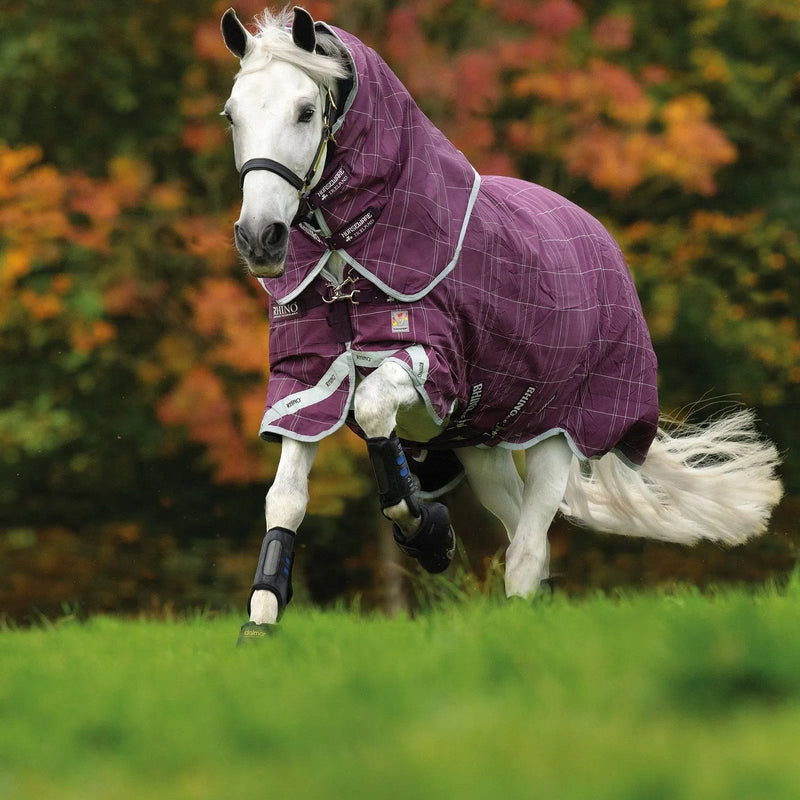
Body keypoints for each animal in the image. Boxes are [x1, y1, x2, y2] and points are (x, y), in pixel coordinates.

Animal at [220, 7, 783, 641]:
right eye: (232, 114)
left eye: (305, 111)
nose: (260, 238)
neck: (353, 256)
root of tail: (604, 245)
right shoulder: (307, 378)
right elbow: (287, 497)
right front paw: (261, 621)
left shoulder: (429, 366)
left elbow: (371, 408)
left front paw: (429, 533)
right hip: (483, 448)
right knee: (523, 536)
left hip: (557, 435)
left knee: (528, 549)